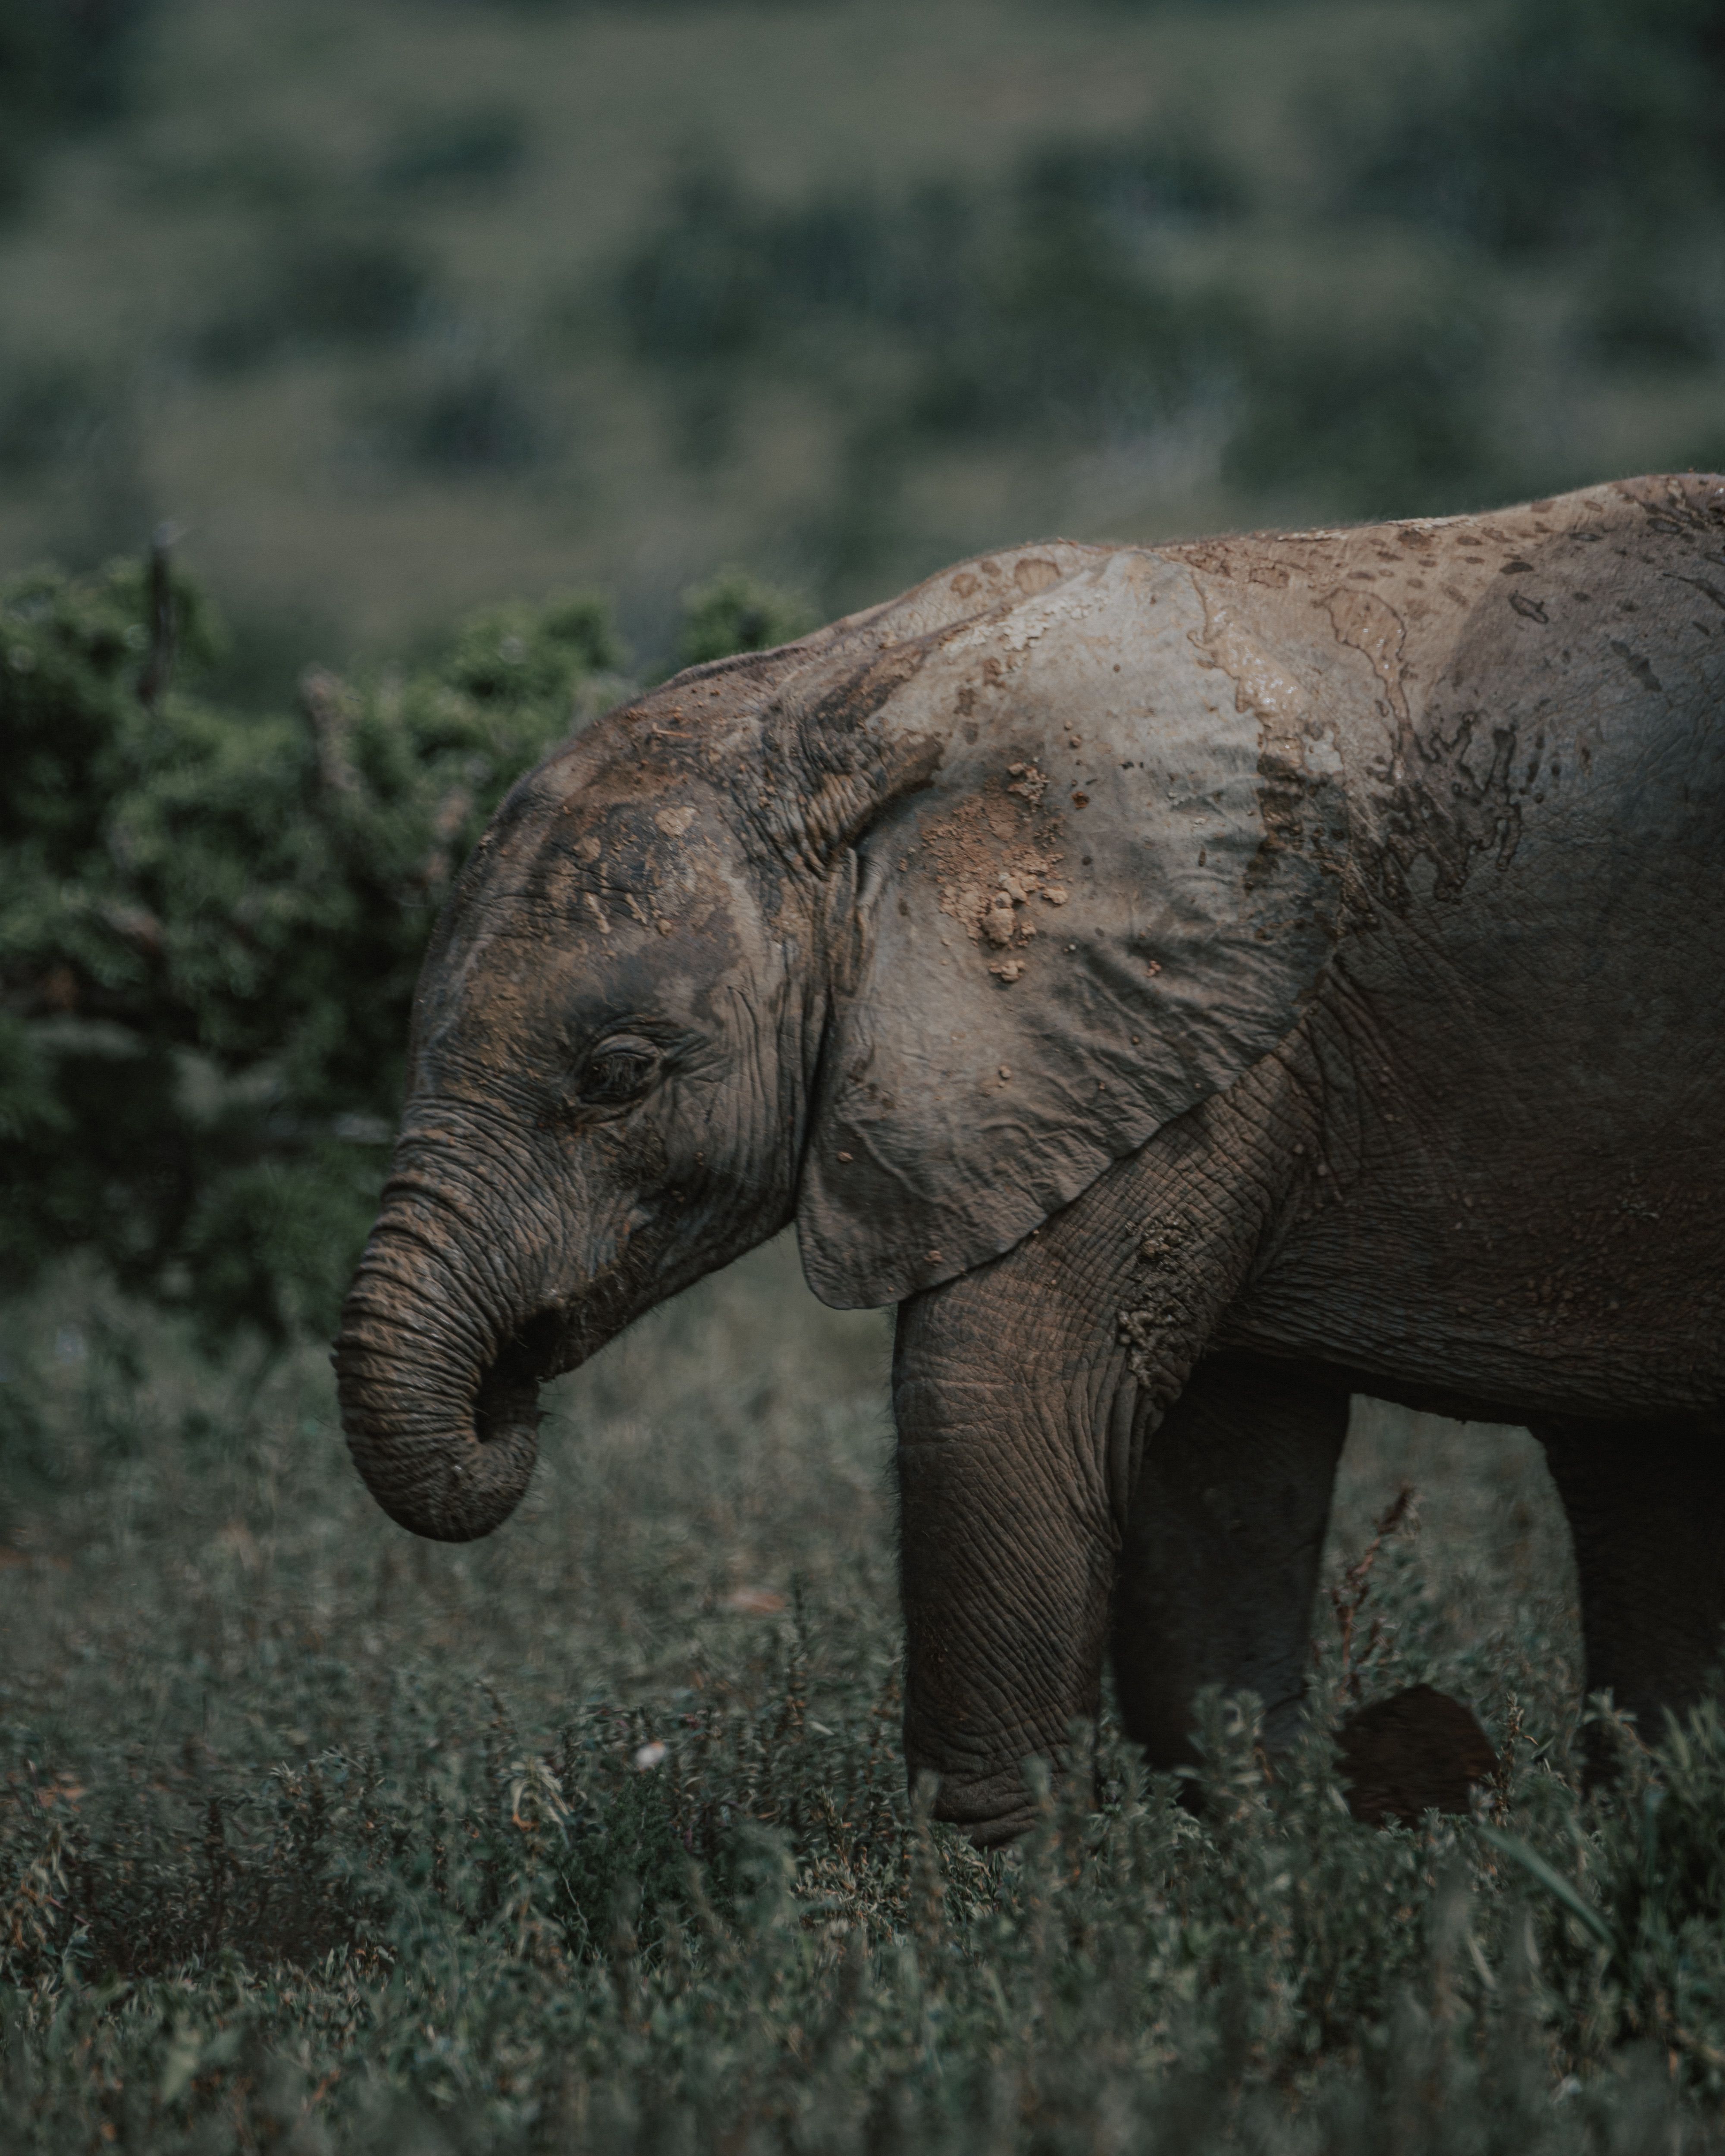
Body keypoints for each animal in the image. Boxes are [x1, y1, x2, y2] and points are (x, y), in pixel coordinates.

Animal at [337, 473, 1725, 1844]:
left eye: (619, 1075)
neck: (854, 702)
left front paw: (1005, 1891)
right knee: (1639, 1472)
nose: (510, 1399)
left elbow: (998, 1404)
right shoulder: (1197, 1043)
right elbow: (1223, 1470)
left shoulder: (1180, 1021)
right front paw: (1256, 1860)